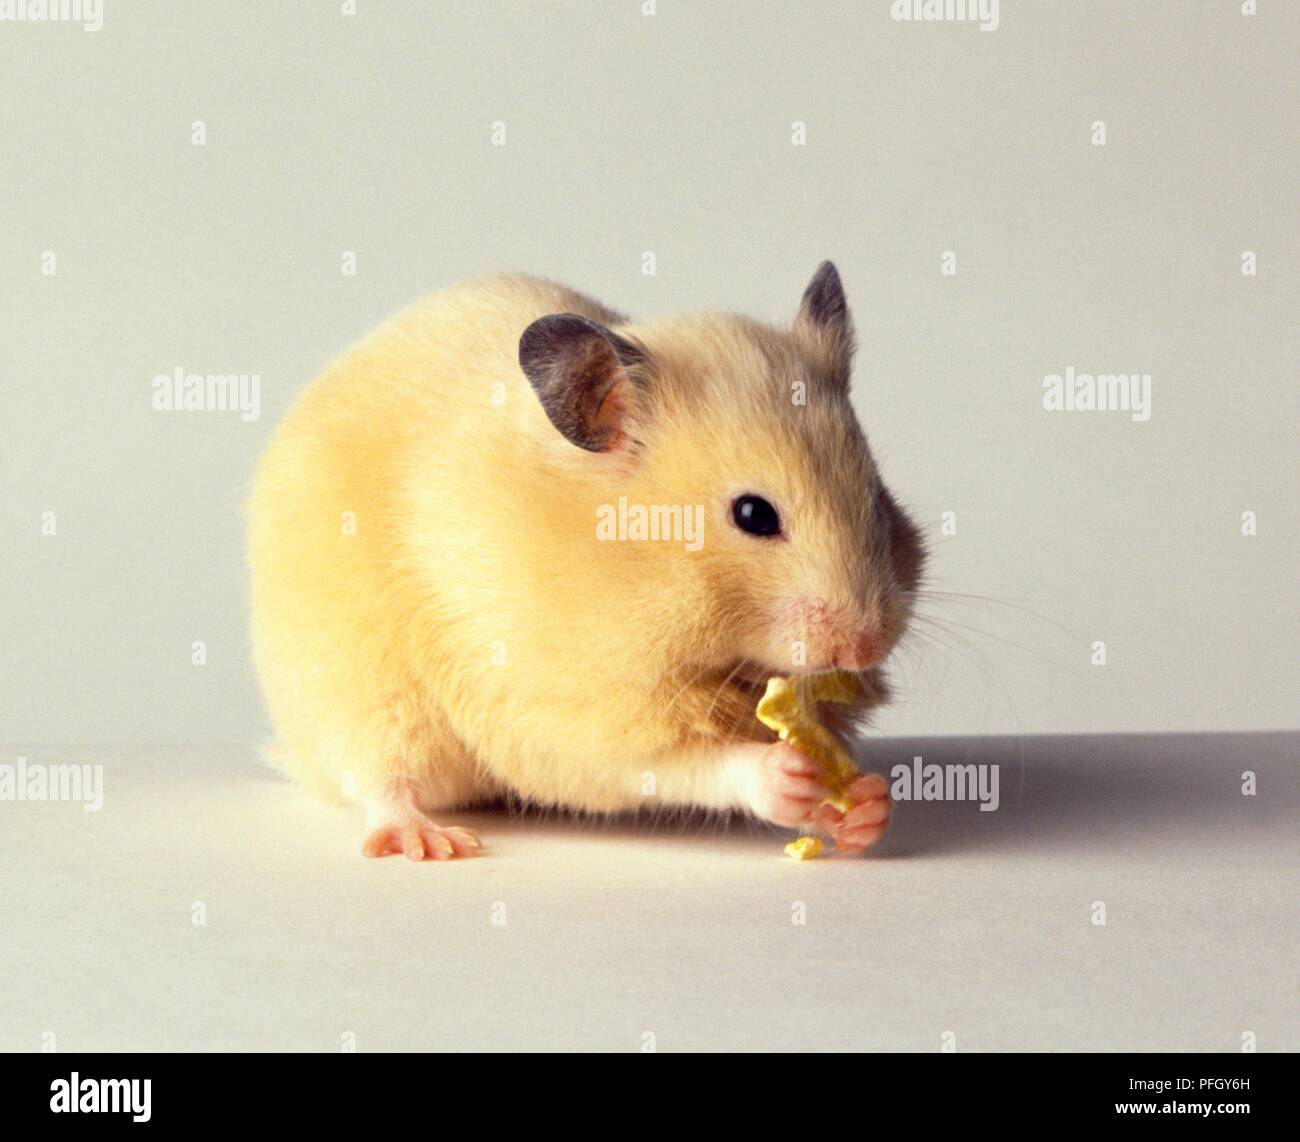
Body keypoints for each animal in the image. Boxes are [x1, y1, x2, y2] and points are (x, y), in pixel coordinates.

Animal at [248, 262, 924, 859]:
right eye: (754, 515)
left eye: (876, 496)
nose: (865, 645)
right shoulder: (572, 717)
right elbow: (690, 764)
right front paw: (788, 773)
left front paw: (866, 807)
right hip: (356, 687)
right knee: (380, 778)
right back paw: (431, 842)